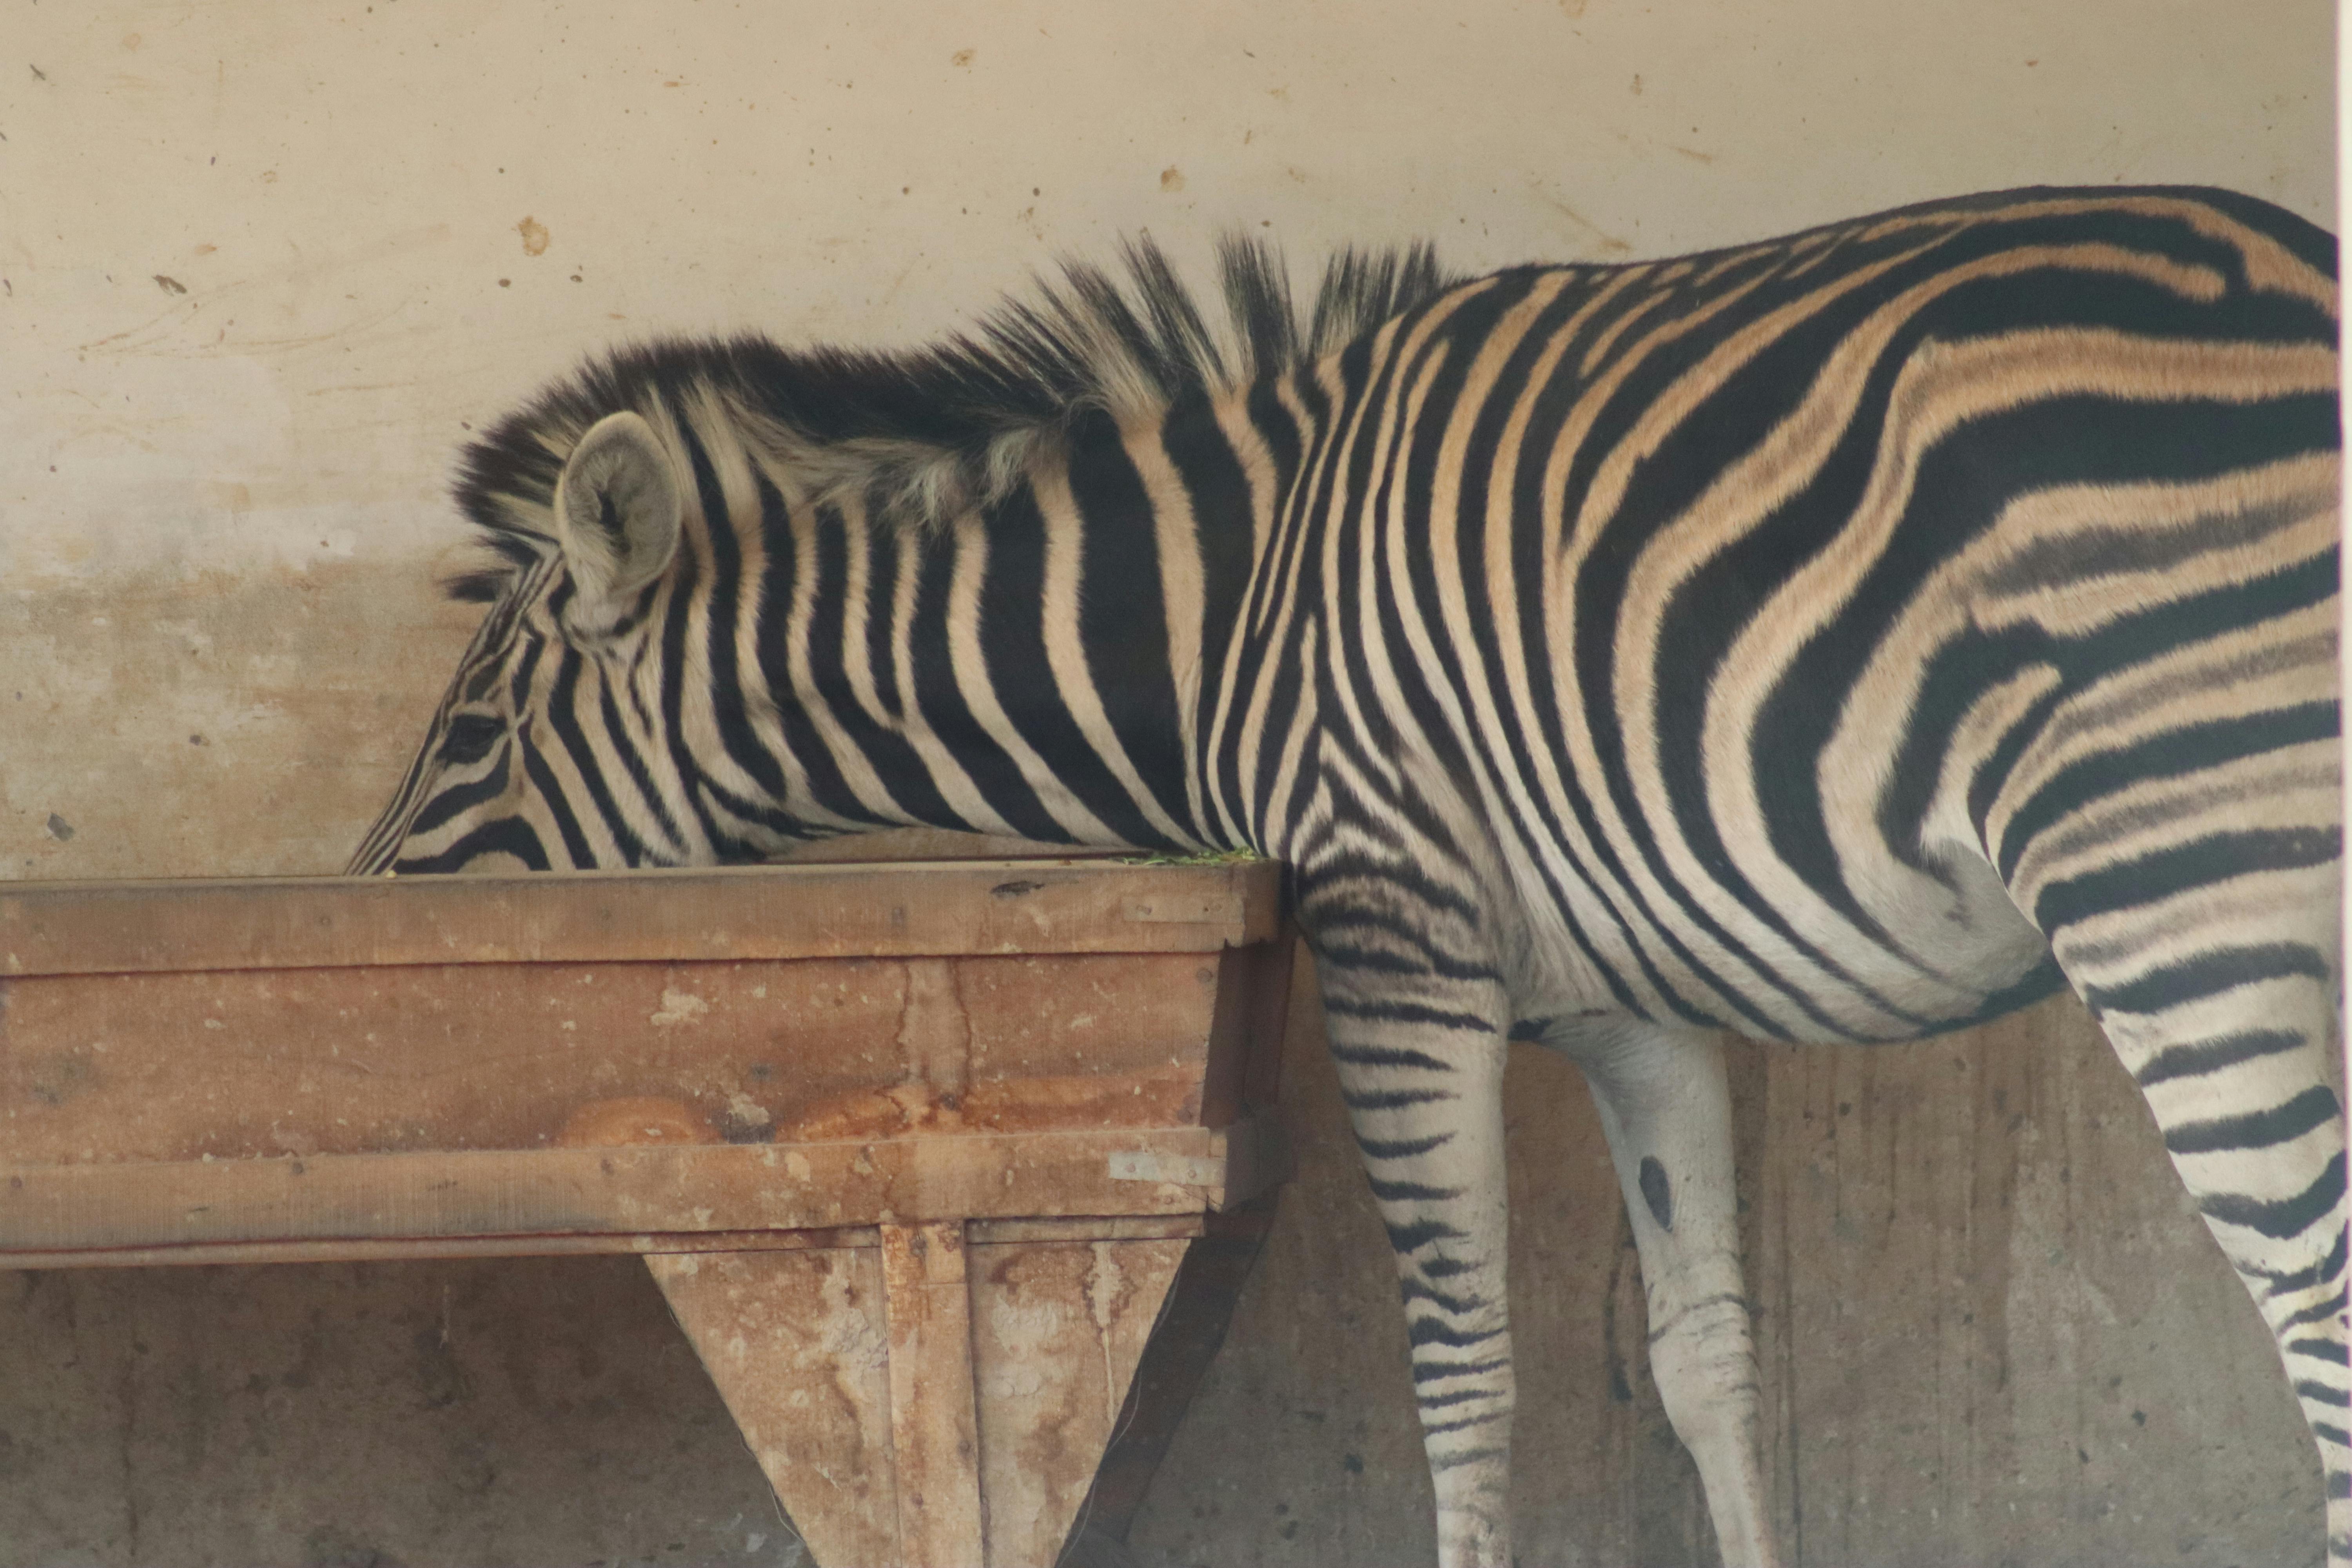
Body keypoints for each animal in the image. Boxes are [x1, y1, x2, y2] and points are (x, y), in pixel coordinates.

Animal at [350, 186, 2344, 1566]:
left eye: (471, 734)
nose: (353, 906)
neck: (1223, 603)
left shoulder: (1396, 937)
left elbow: (1462, 1371)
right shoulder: (1628, 1010)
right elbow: (1705, 1356)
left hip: (2175, 888)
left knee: (2311, 1319)